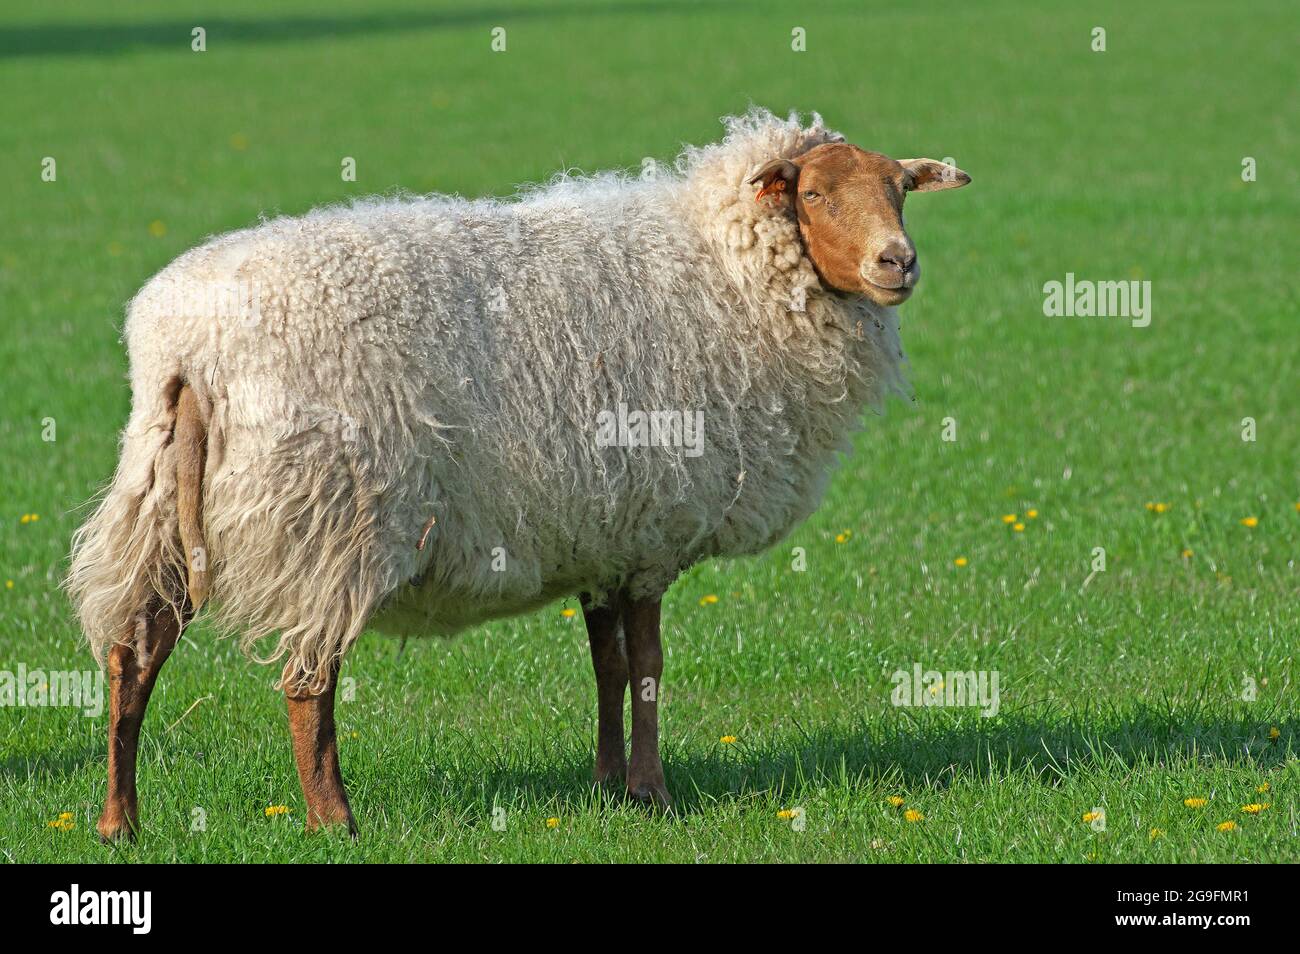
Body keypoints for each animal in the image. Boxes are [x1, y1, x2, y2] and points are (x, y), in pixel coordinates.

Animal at [66, 108, 970, 840]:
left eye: (899, 189)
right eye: (813, 194)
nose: (898, 262)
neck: (723, 271)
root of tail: (187, 346)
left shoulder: (606, 535)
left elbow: (610, 666)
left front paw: (611, 789)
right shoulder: (651, 533)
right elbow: (648, 669)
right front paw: (654, 793)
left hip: (157, 508)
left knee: (131, 659)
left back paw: (121, 823)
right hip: (330, 519)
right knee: (306, 682)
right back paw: (334, 821)